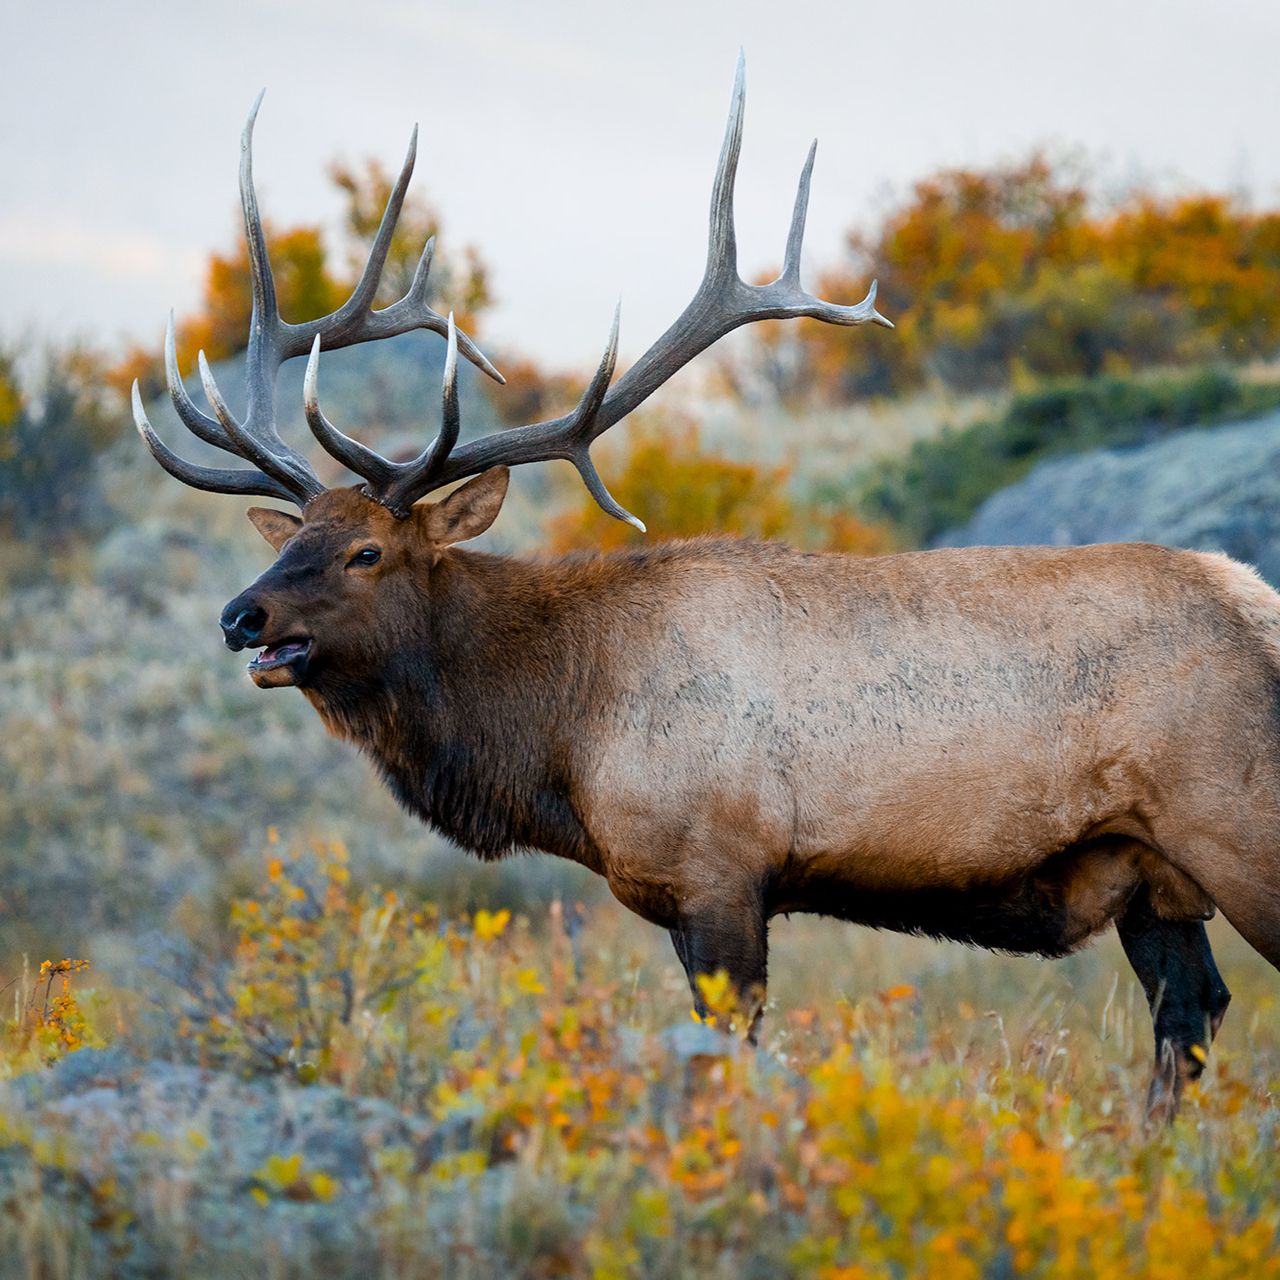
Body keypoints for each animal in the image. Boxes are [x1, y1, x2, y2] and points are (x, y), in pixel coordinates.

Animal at [133, 58, 1277, 1119]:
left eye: (367, 552)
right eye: (296, 536)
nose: (241, 616)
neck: (561, 730)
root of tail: (1257, 605)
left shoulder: (719, 867)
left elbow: (728, 1054)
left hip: (1233, 824)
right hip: (1148, 874)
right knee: (1191, 1013)